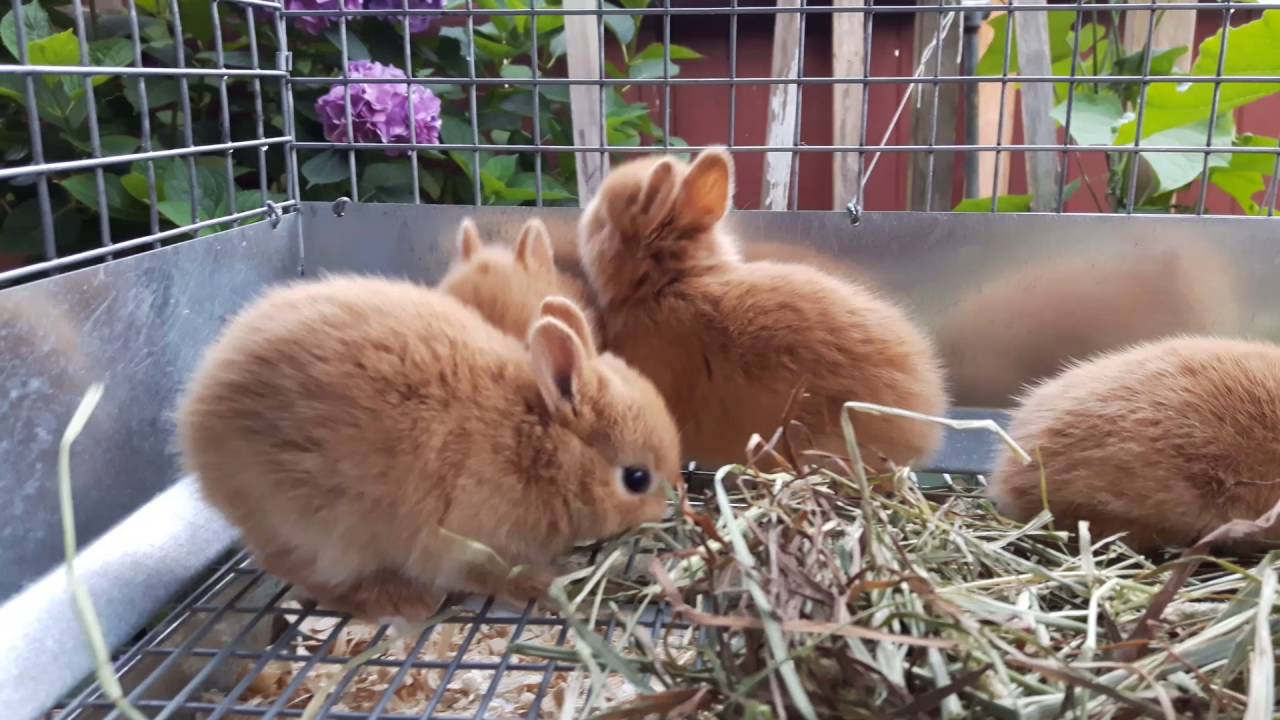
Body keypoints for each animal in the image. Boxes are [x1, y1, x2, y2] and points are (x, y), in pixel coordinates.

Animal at [175, 275, 680, 622]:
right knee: (313, 573)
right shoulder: (464, 542)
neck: (538, 445)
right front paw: (545, 584)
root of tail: (196, 421)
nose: (662, 511)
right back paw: (404, 601)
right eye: (637, 478)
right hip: (321, 530)